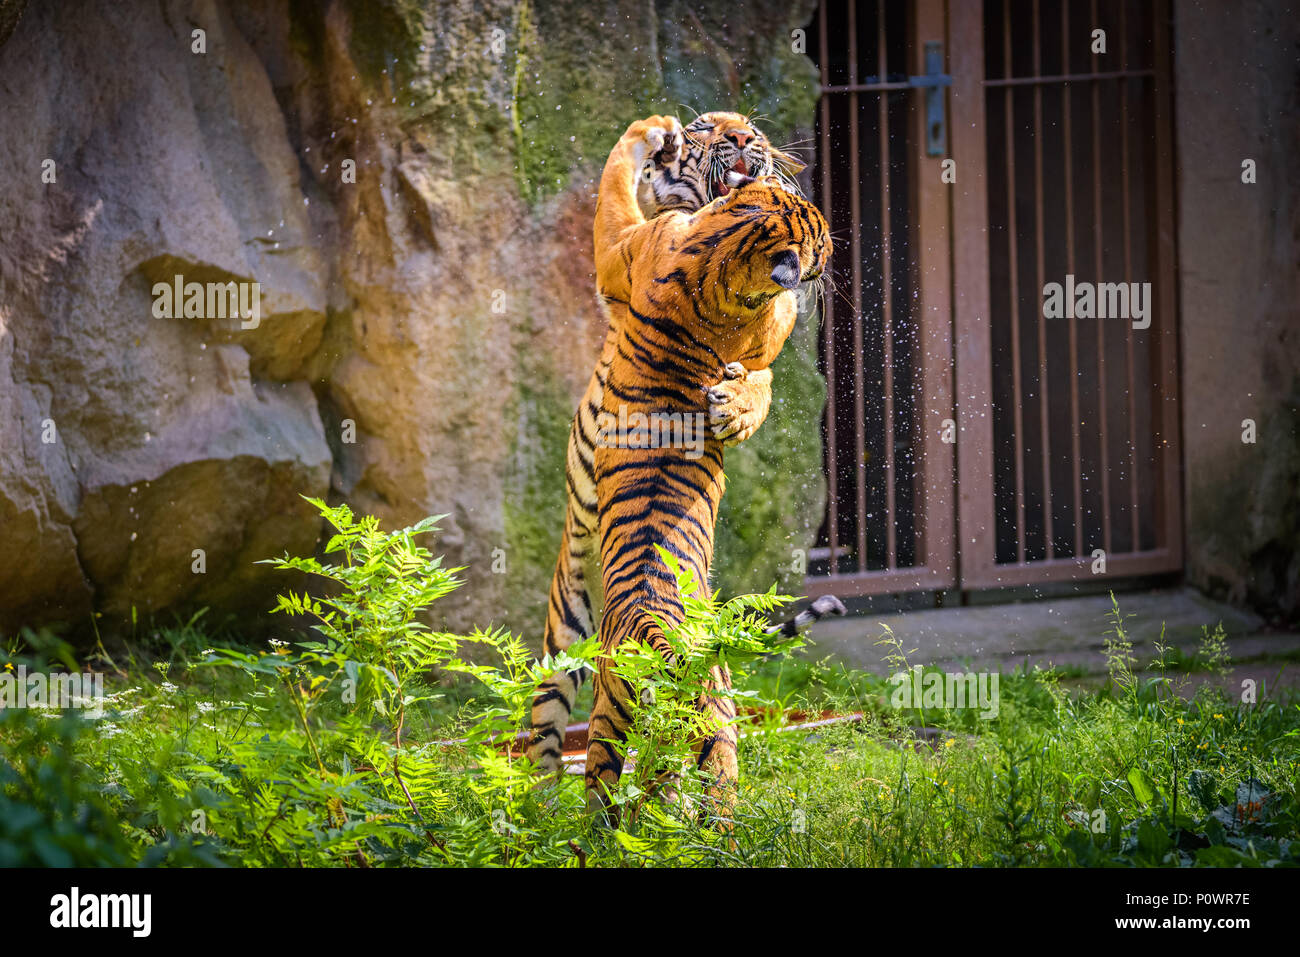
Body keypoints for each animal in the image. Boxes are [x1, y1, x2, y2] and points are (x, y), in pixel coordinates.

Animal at [532, 114, 834, 817]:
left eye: (744, 133)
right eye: (709, 130)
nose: (745, 134)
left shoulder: (626, 248)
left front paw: (735, 407)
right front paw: (654, 135)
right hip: (571, 619)